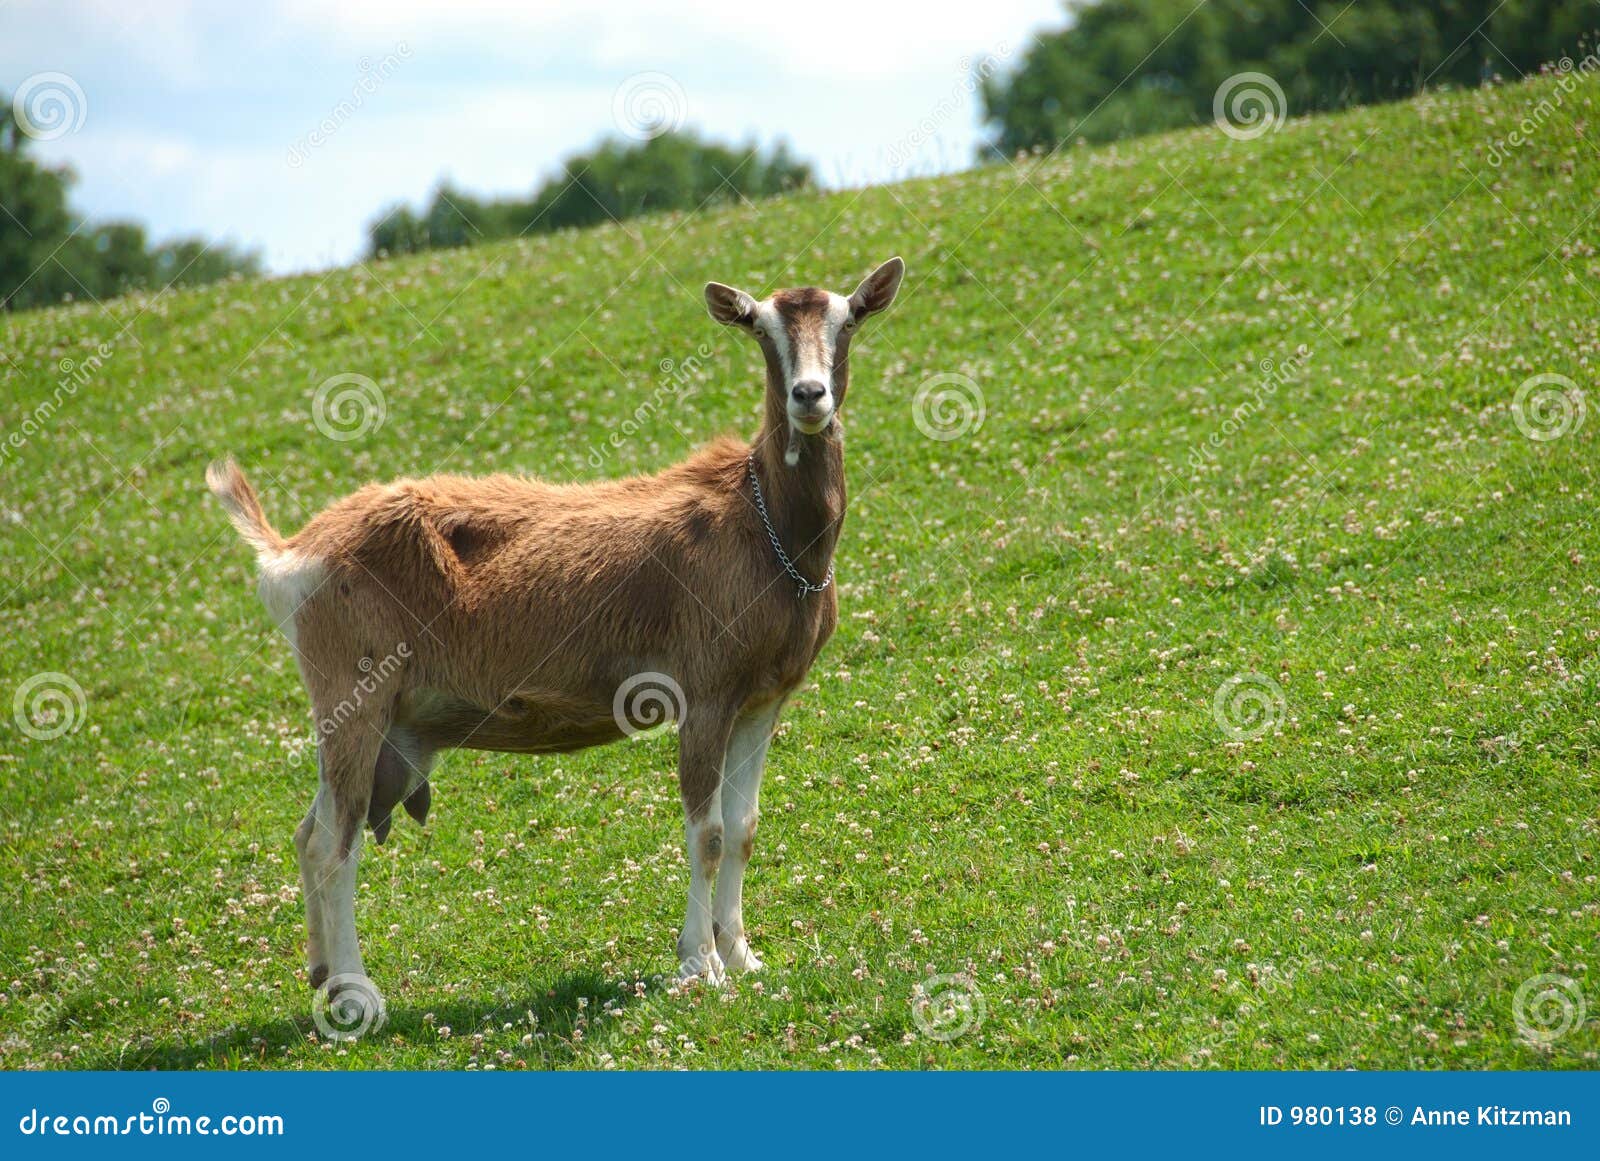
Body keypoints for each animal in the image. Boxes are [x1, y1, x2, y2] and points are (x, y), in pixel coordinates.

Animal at [206, 257, 904, 1019]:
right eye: (761, 329)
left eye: (847, 321)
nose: (810, 396)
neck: (764, 528)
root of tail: (290, 553)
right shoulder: (704, 691)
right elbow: (709, 833)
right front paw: (701, 965)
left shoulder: (763, 699)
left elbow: (744, 828)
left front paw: (744, 957)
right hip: (353, 692)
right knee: (336, 846)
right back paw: (360, 999)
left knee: (310, 833)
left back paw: (321, 972)